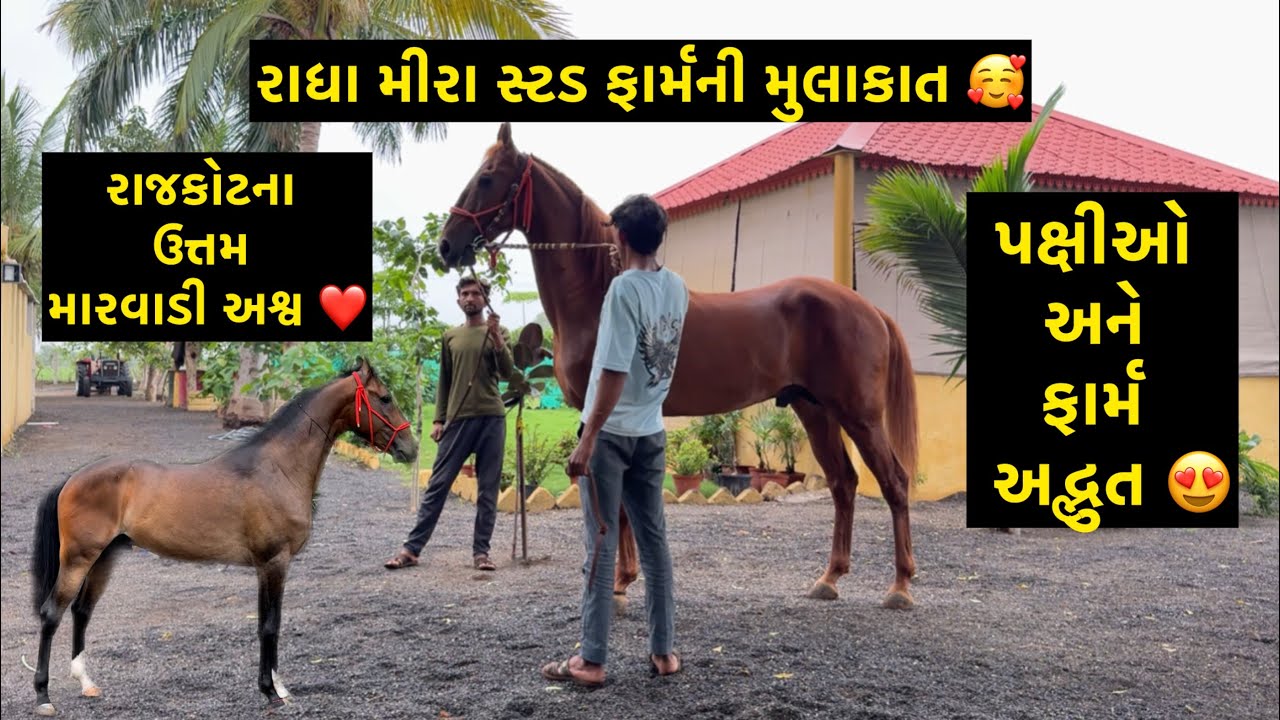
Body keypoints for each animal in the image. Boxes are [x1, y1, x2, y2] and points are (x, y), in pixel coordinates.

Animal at [27, 358, 417, 717]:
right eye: (385, 397)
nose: (411, 448)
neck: (277, 468)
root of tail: (72, 479)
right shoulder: (273, 562)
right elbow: (269, 626)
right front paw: (271, 692)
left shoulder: (271, 565)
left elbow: (271, 623)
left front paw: (278, 686)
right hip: (78, 558)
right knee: (52, 614)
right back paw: (43, 696)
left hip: (103, 558)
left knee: (81, 611)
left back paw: (86, 682)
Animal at [437, 122, 920, 613]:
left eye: (487, 178)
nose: (447, 245)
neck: (598, 295)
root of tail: (869, 308)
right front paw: (625, 579)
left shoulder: (603, 417)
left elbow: (619, 505)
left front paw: (618, 585)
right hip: (815, 411)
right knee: (843, 483)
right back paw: (829, 578)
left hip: (859, 416)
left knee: (894, 482)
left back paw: (900, 586)